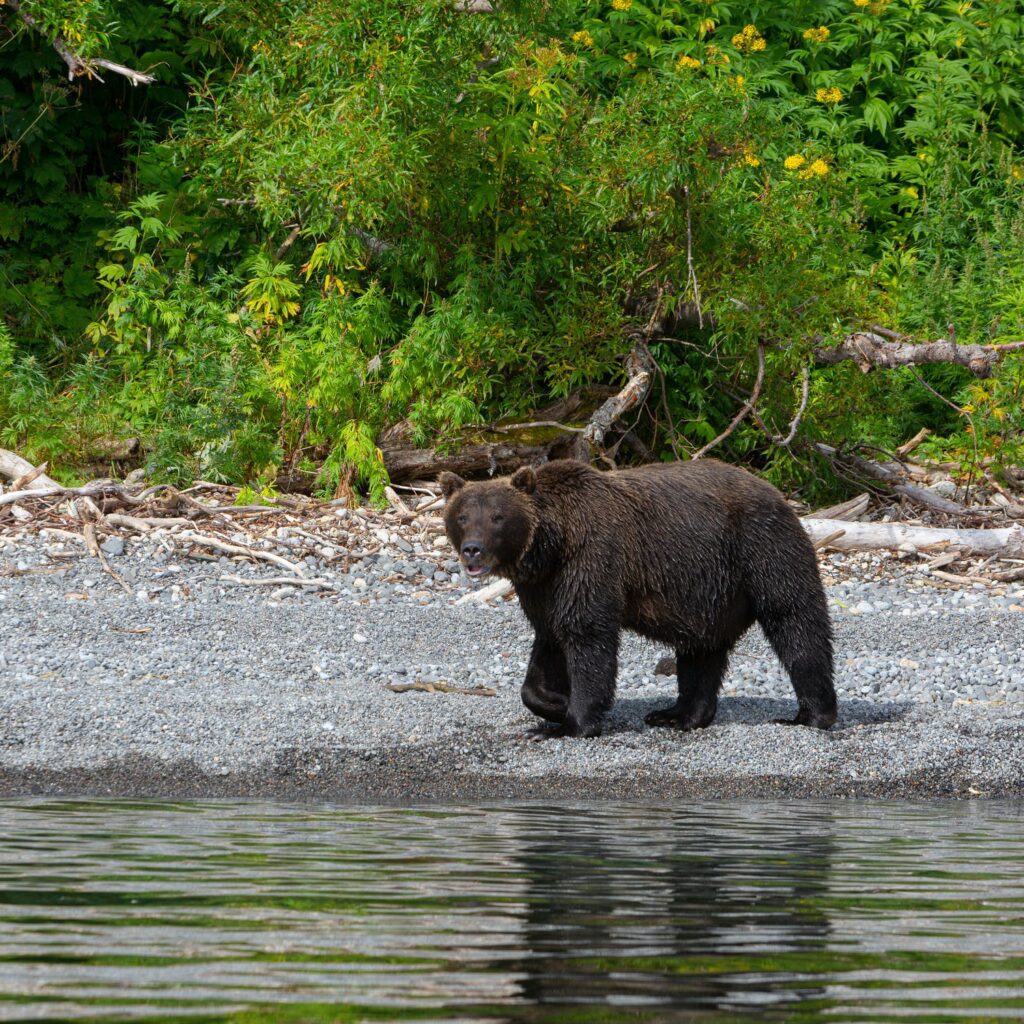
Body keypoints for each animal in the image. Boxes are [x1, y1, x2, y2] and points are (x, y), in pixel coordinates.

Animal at [440, 458, 836, 739]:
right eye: (462, 516)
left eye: (497, 516)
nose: (473, 549)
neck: (551, 546)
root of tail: (780, 494)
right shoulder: (544, 586)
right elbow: (549, 642)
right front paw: (553, 704)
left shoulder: (592, 558)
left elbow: (587, 635)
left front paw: (571, 722)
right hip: (707, 588)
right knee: (701, 649)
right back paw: (678, 715)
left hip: (763, 548)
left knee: (795, 622)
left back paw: (811, 715)